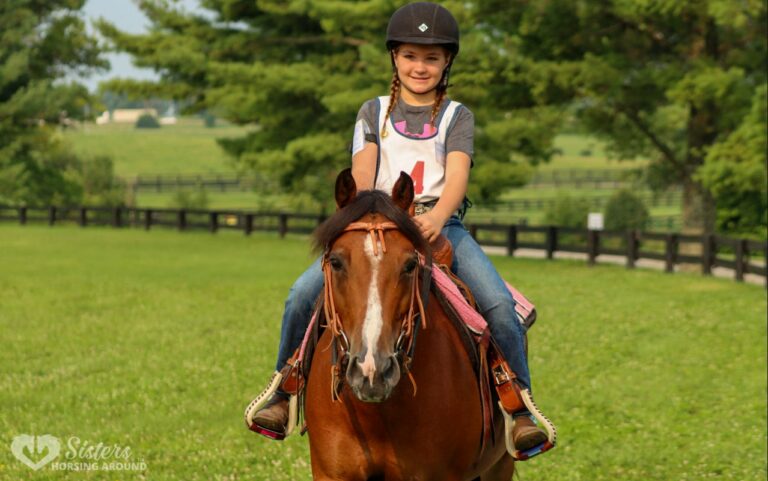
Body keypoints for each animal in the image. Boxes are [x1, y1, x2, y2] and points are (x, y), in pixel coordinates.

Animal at [303, 168, 514, 480]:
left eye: (410, 265)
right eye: (336, 262)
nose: (372, 370)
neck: (377, 416)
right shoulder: (332, 474)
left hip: (500, 465)